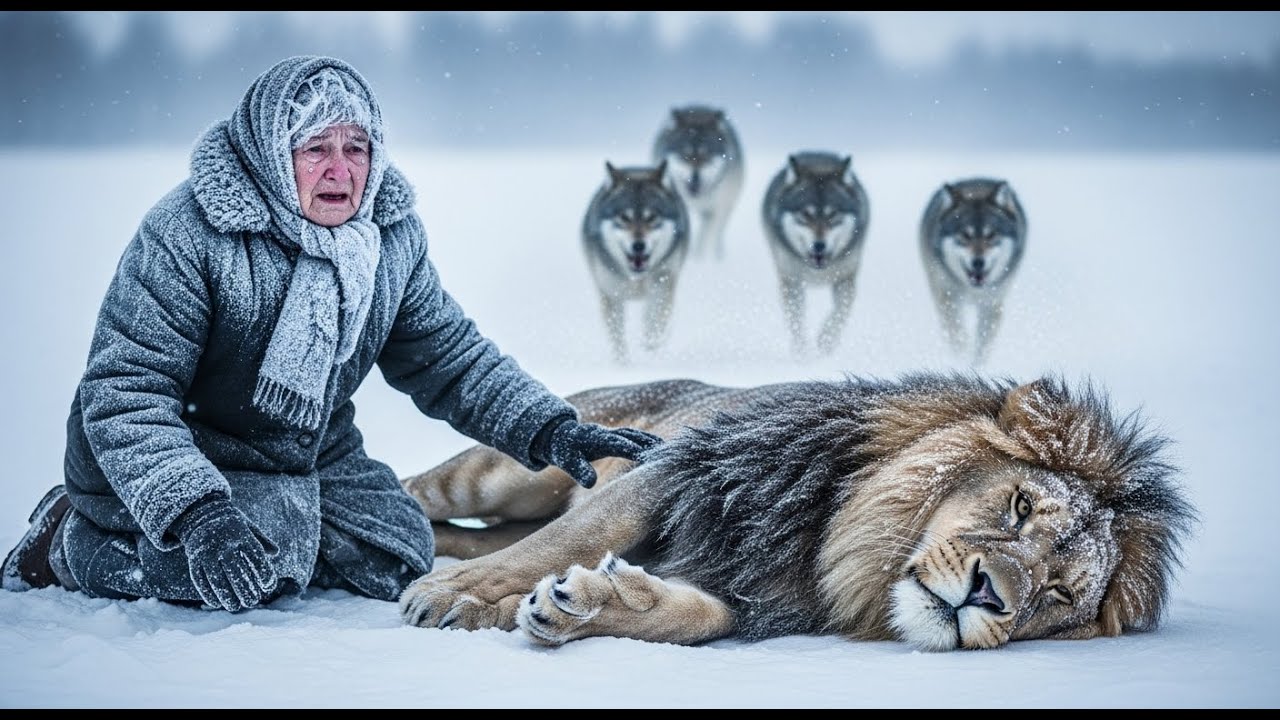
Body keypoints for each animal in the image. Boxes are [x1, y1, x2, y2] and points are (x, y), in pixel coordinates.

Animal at [397, 372, 1196, 651]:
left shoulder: (766, 594)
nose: (987, 595)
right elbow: (575, 535)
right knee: (422, 492)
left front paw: (577, 606)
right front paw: (452, 597)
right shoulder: (679, 470)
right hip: (507, 473)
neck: (844, 550)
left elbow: (697, 617)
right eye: (1020, 507)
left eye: (1057, 594)